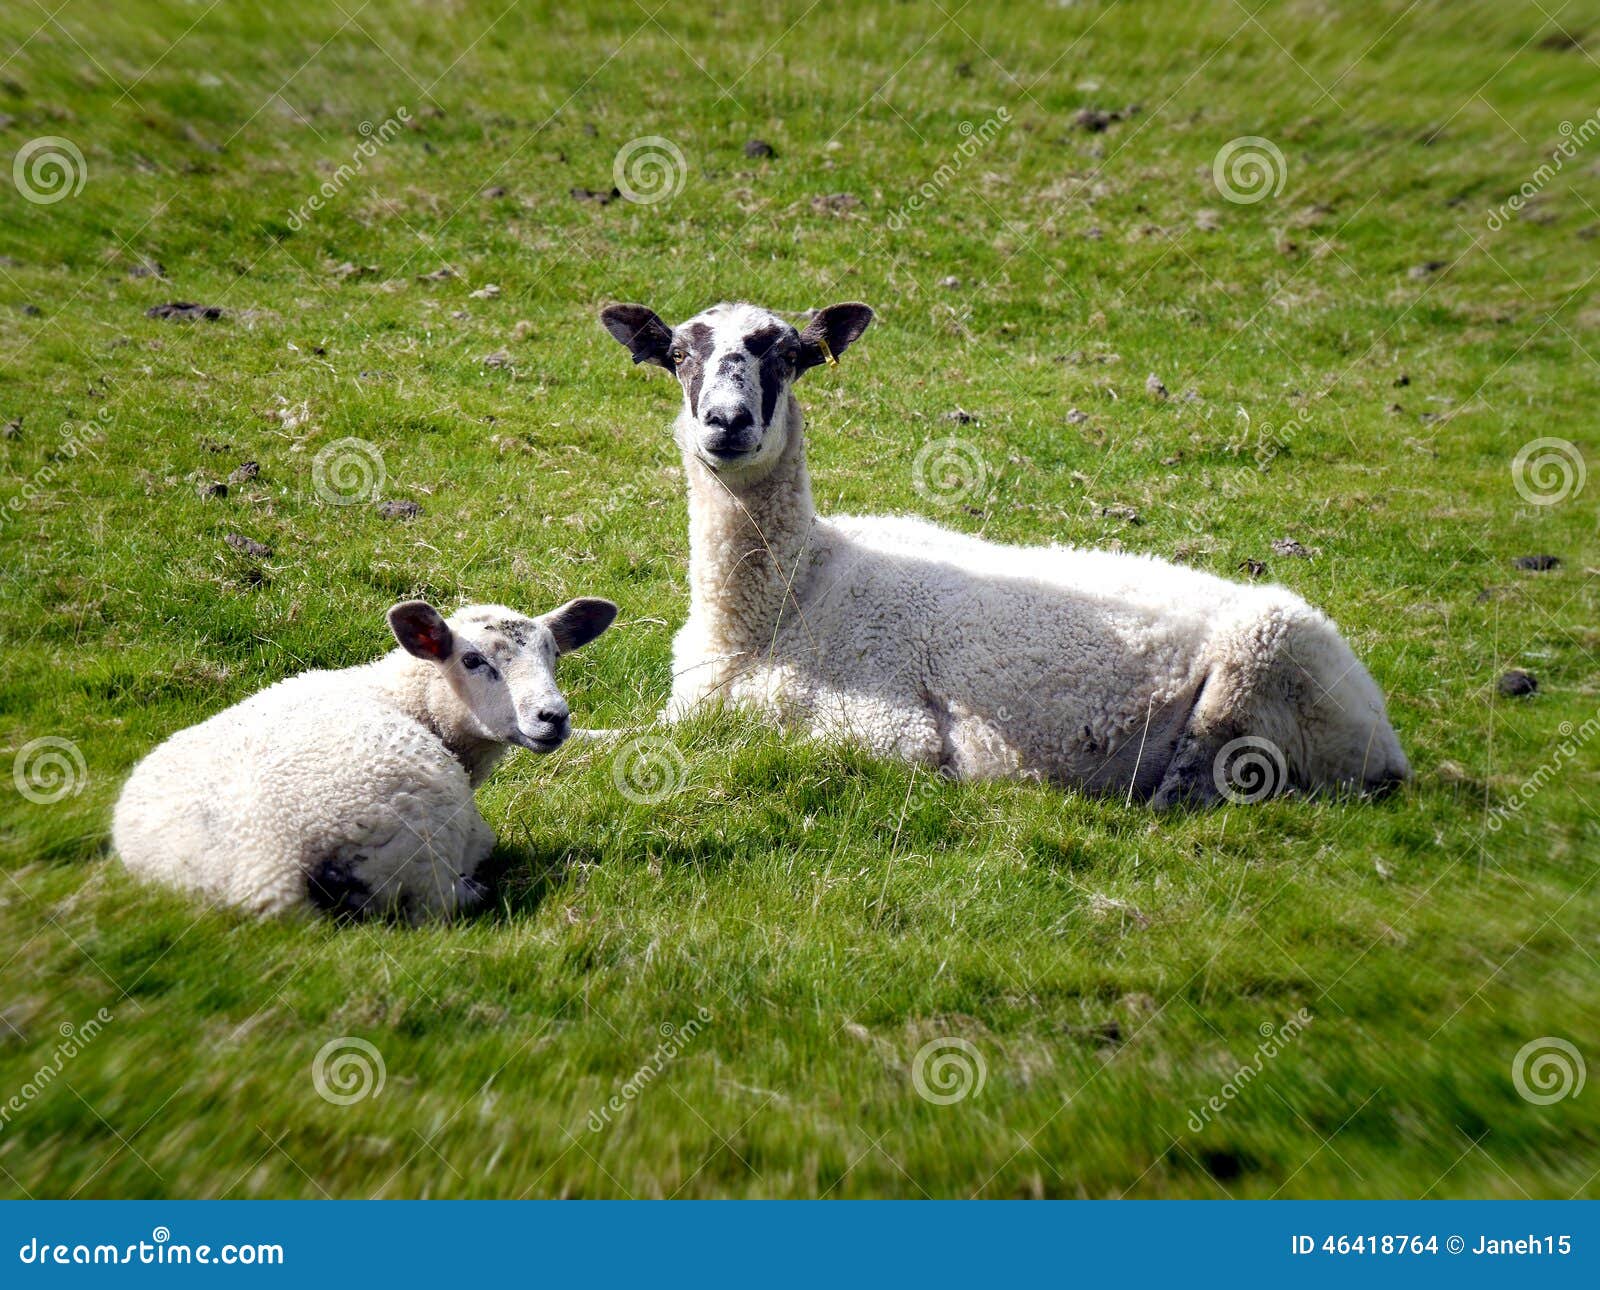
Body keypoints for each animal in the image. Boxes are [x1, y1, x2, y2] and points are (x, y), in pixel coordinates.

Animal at [598, 299, 1409, 805]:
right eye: (678, 356)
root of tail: (1385, 735)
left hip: (1258, 671)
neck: (783, 607)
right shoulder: (686, 713)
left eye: (791, 357)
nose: (727, 422)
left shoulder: (883, 733)